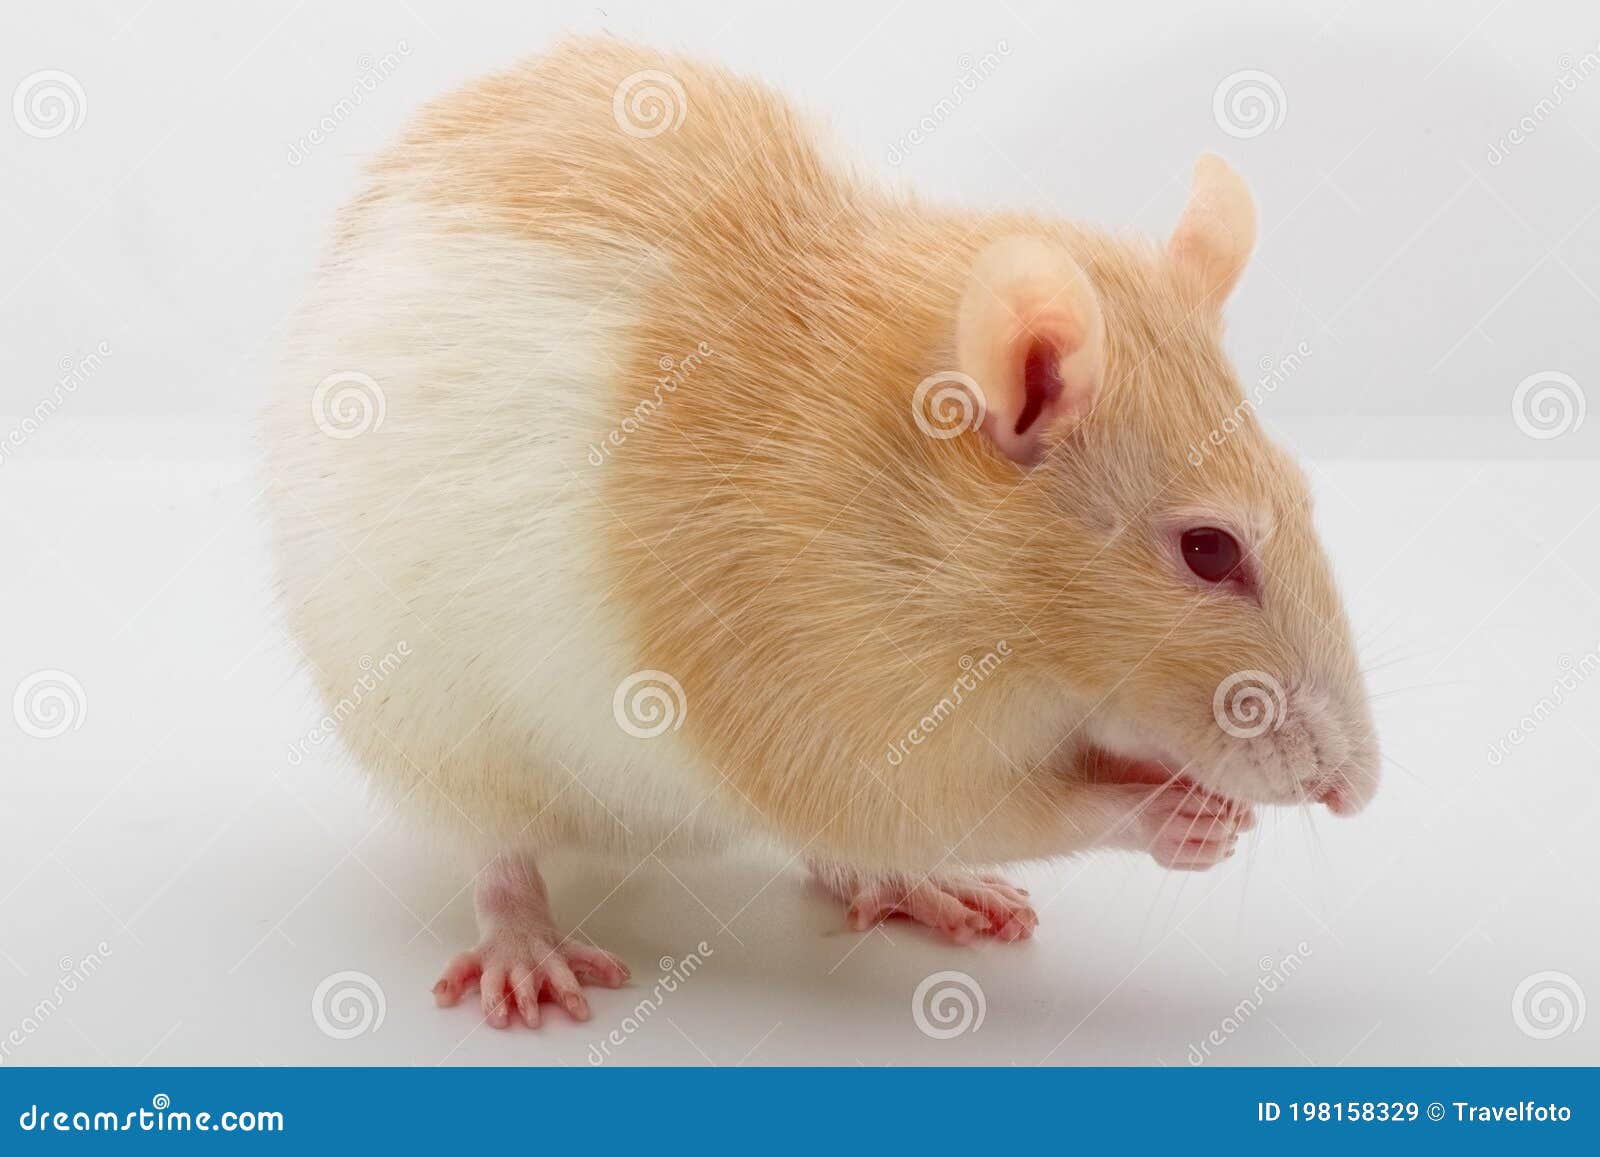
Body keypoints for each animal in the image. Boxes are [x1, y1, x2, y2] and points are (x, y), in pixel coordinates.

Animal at [263, 36, 1379, 1029]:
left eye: (1303, 496)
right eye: (1209, 551)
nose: (1357, 792)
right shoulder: (829, 688)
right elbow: (942, 804)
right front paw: (1167, 811)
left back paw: (916, 888)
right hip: (442, 739)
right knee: (499, 849)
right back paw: (524, 940)